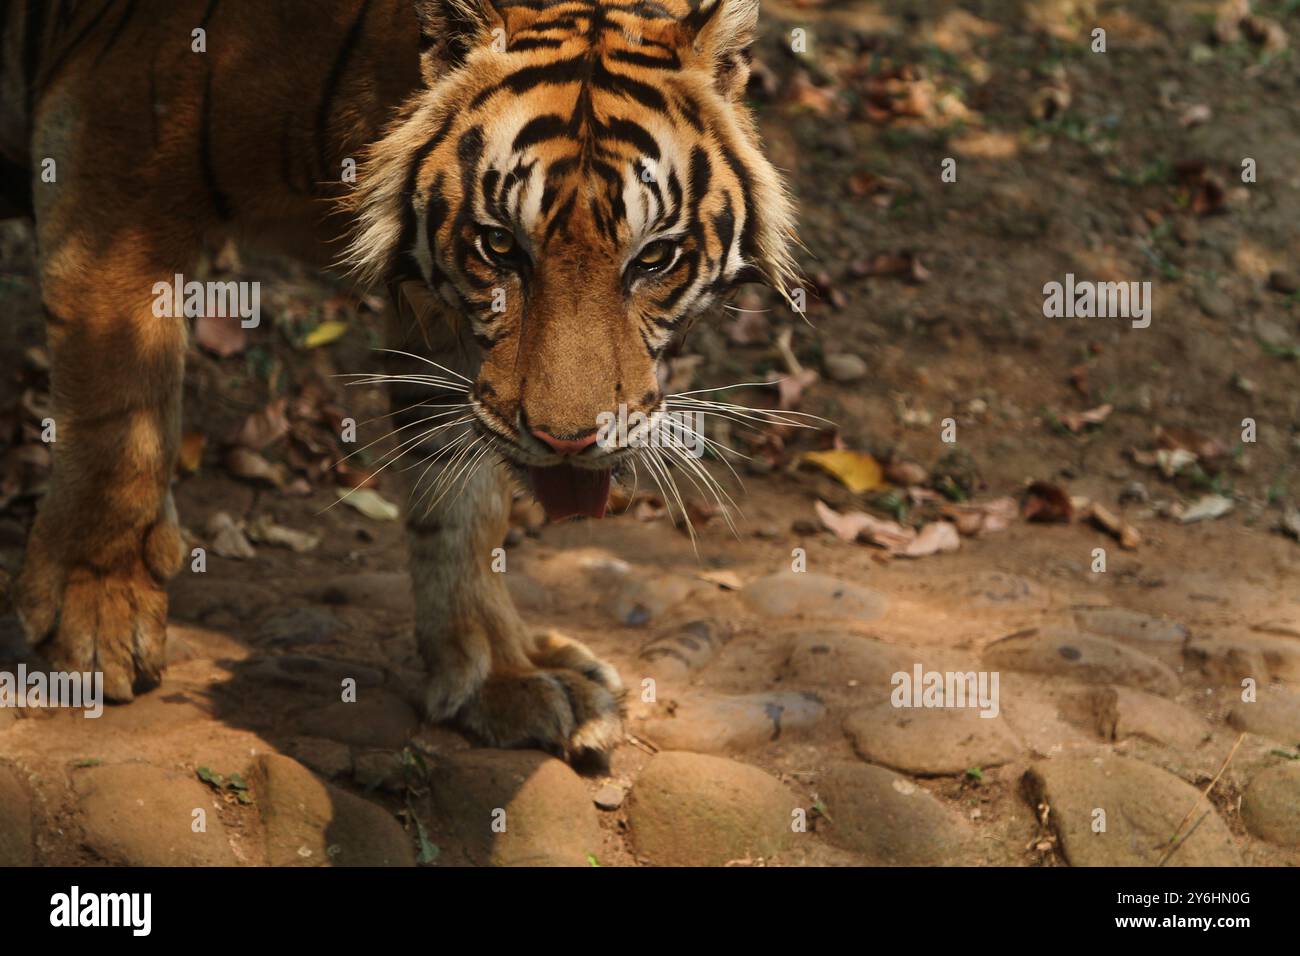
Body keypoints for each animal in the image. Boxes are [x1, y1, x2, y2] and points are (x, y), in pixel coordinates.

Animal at [0, 0, 797, 763]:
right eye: (500, 246)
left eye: (655, 258)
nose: (569, 443)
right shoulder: (114, 143)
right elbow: (119, 404)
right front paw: (97, 620)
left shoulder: (442, 317)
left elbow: (462, 498)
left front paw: (503, 673)